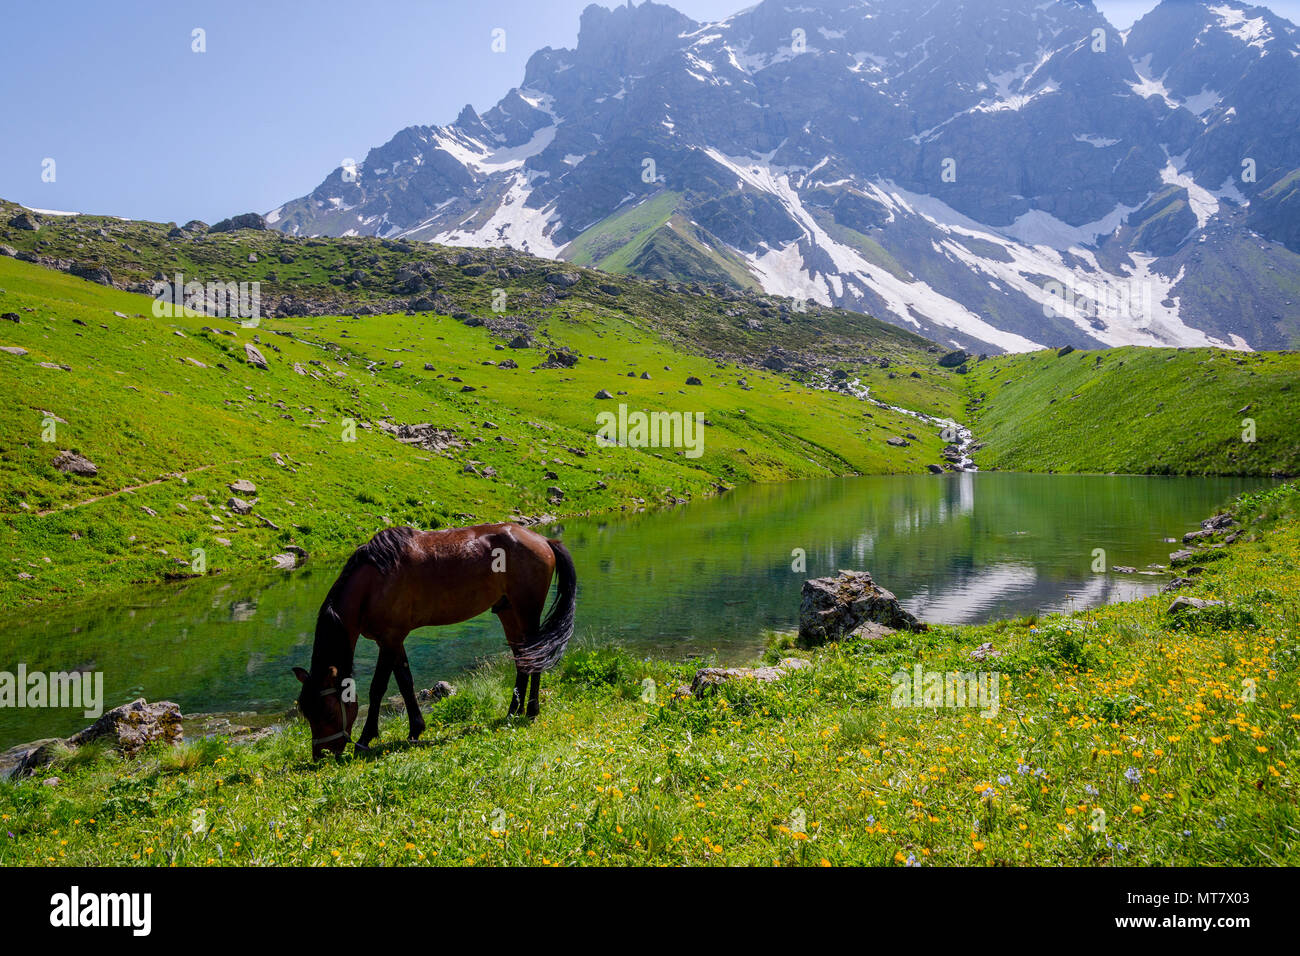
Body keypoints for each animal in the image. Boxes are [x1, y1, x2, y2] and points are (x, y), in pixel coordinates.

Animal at [292, 522, 577, 758]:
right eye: (307, 712)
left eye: (329, 711)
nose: (322, 755)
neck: (373, 582)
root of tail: (543, 539)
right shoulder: (393, 641)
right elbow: (405, 683)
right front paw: (415, 730)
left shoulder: (389, 639)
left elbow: (377, 688)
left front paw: (366, 738)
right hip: (507, 611)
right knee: (522, 660)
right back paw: (512, 711)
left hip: (527, 612)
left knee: (535, 658)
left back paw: (531, 710)